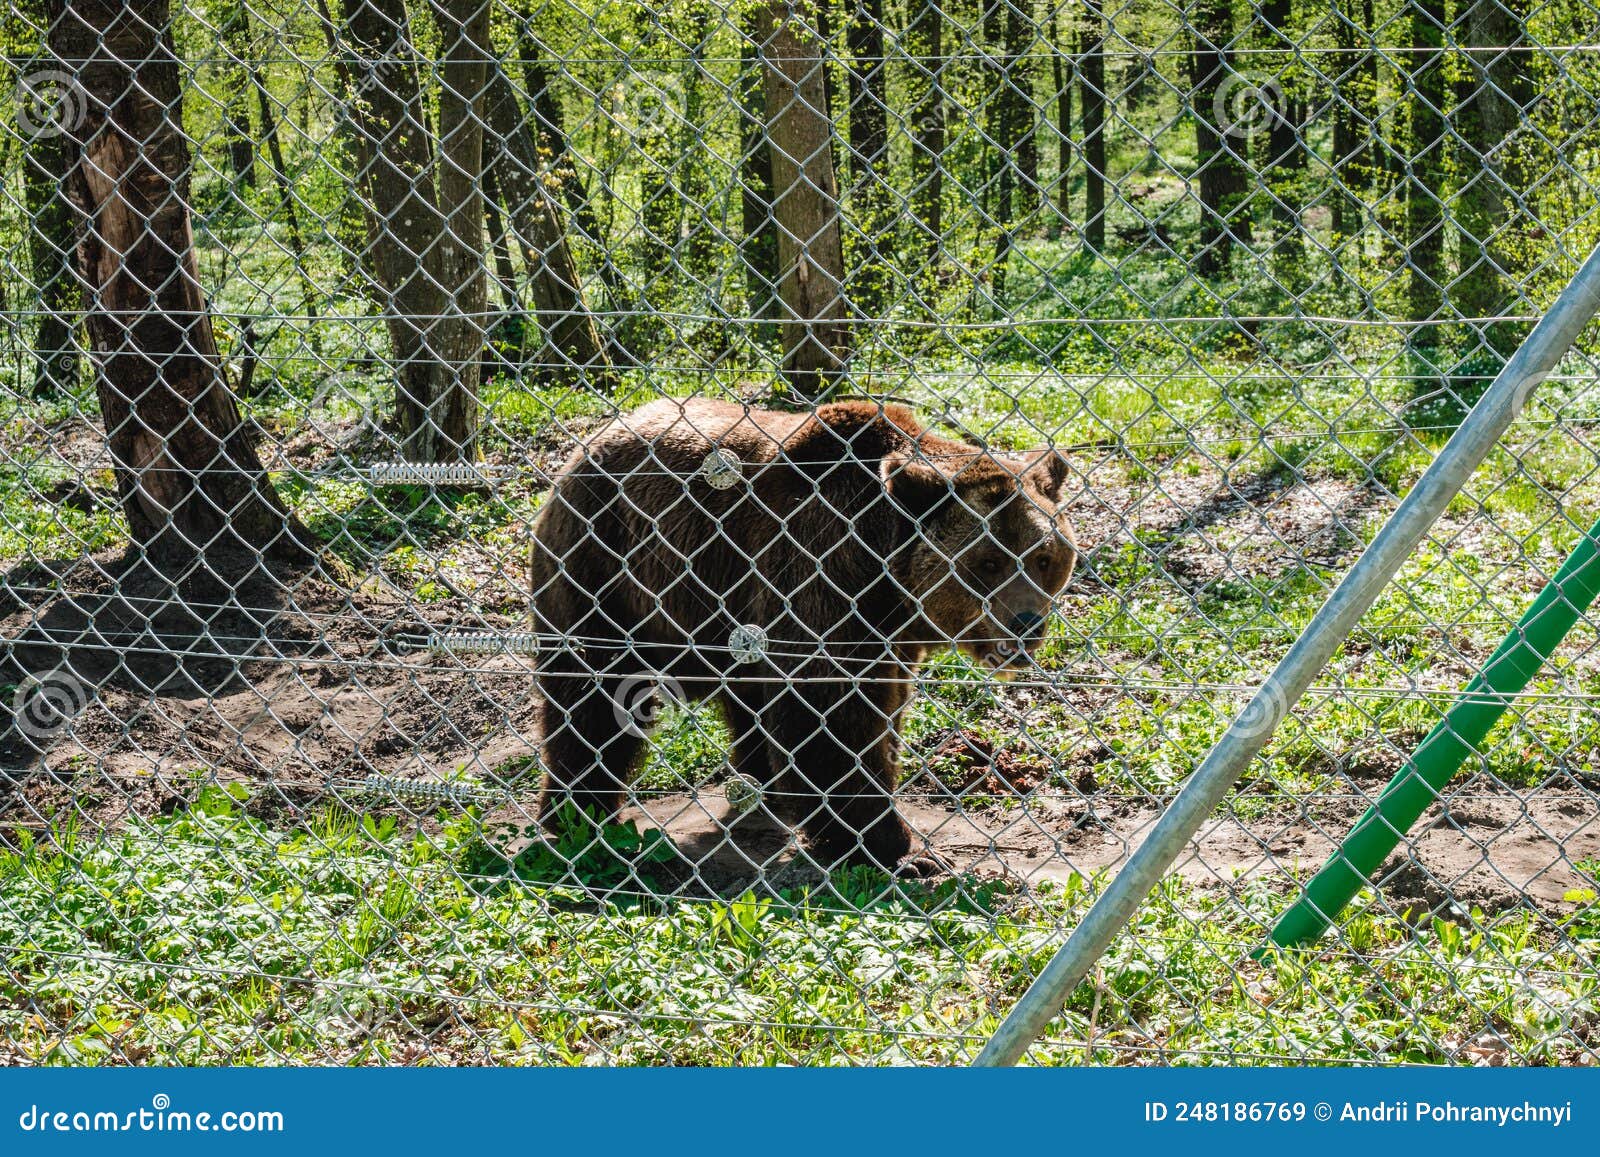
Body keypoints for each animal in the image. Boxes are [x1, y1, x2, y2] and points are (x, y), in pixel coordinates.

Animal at [528, 398, 1076, 873]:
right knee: (591, 693)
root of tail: (589, 441)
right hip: (606, 564)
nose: (1026, 622)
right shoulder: (820, 565)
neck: (884, 566)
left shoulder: (890, 630)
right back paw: (578, 811)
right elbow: (830, 714)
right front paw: (896, 847)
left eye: (1043, 557)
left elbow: (883, 708)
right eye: (987, 562)